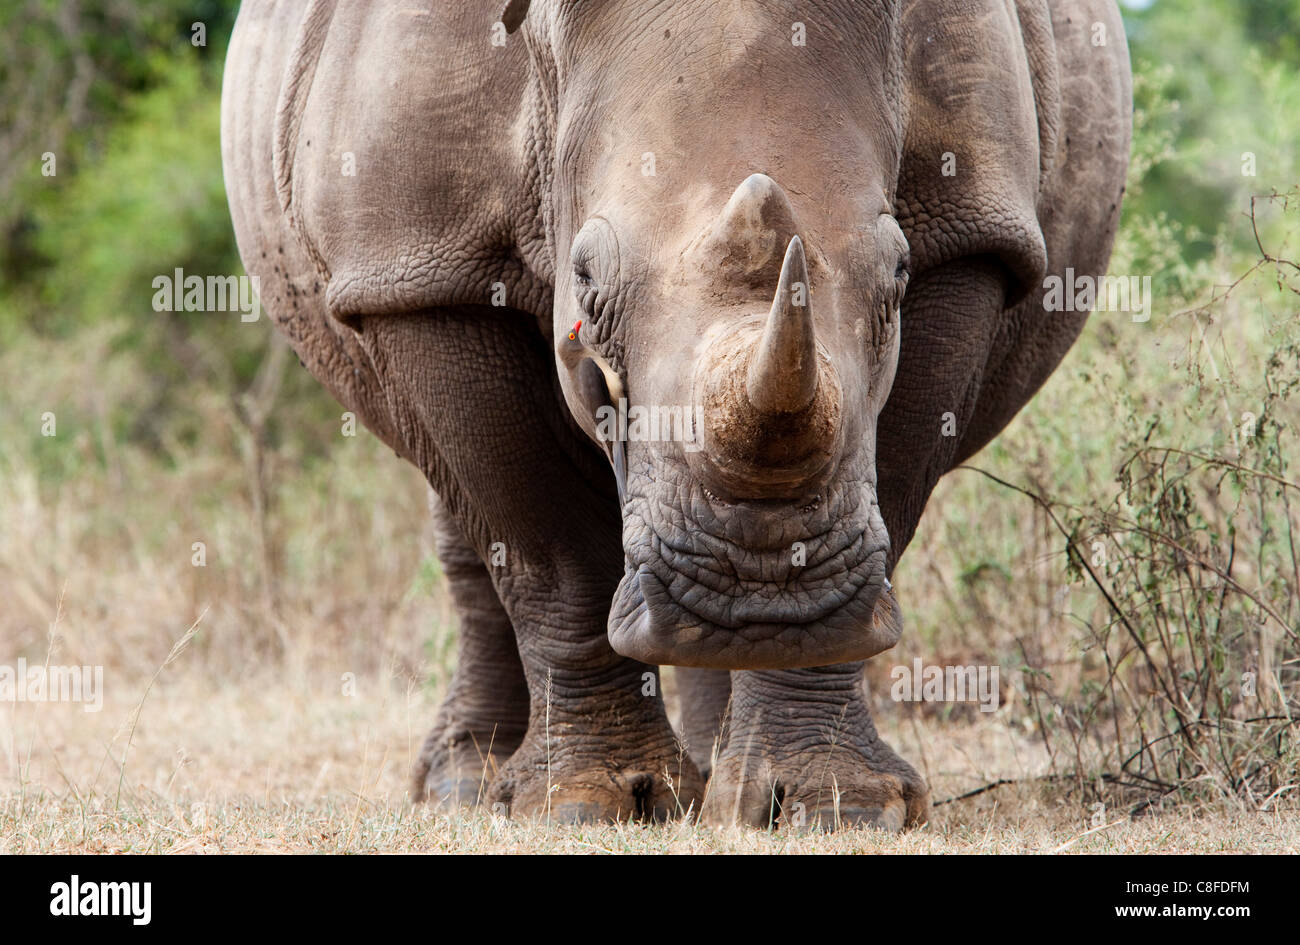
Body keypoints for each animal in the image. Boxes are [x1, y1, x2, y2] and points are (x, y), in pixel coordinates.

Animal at [222, 0, 1131, 829]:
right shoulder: (420, 266)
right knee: (453, 491)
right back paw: (469, 786)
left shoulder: (973, 236)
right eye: (585, 282)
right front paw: (588, 803)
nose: (754, 597)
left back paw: (707, 768)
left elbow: (897, 479)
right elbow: (544, 537)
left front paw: (836, 802)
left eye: (898, 275)